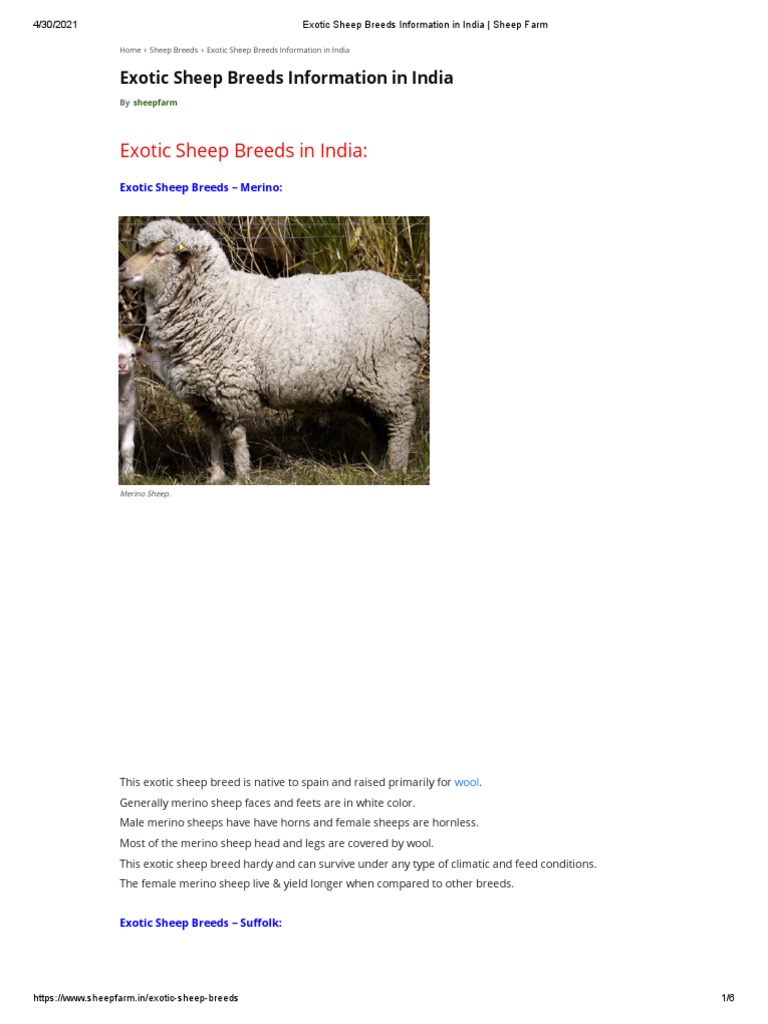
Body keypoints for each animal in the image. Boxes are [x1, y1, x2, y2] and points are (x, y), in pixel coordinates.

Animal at [118, 220, 428, 482]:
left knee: (401, 420)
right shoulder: (204, 395)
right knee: (380, 425)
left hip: (391, 375)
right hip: (367, 384)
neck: (216, 301)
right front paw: (216, 477)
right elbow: (214, 438)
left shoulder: (231, 389)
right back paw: (375, 466)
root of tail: (415, 301)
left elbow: (235, 438)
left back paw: (396, 470)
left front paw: (242, 476)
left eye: (159, 253)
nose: (121, 270)